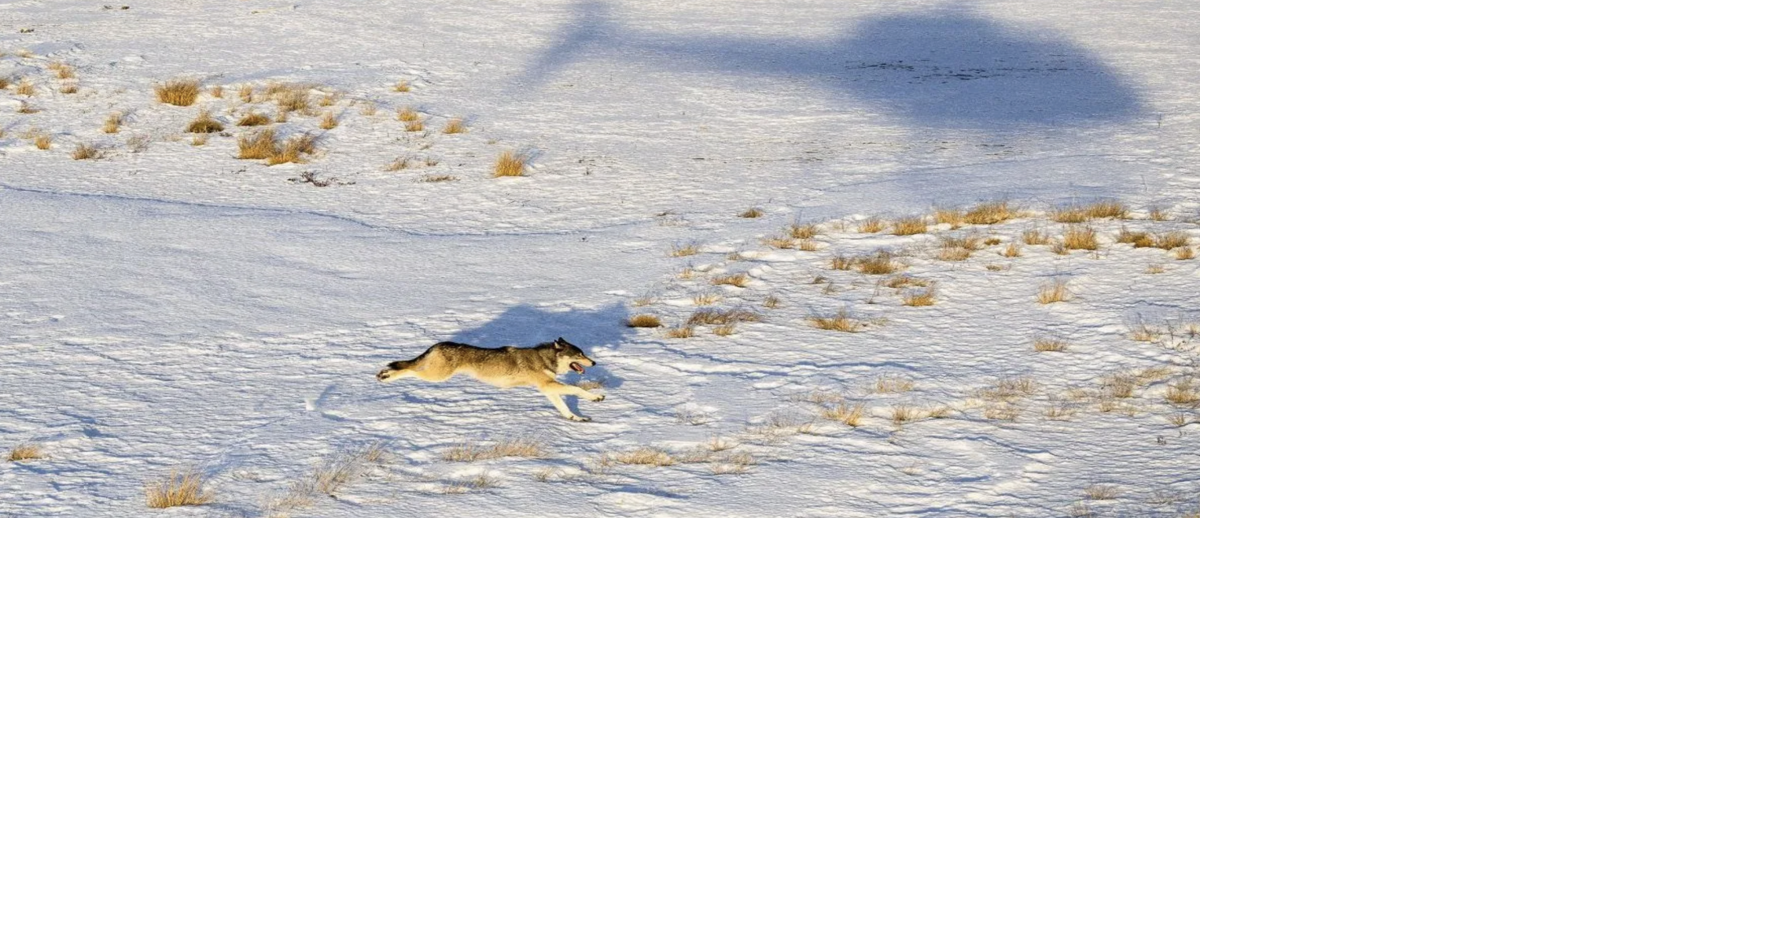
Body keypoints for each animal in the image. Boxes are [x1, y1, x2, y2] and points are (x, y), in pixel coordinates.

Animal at [377, 337, 605, 422]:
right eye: (580, 355)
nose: (594, 362)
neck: (545, 359)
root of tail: (437, 344)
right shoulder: (547, 385)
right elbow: (577, 390)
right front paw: (596, 398)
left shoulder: (547, 389)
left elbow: (563, 407)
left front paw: (576, 418)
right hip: (436, 376)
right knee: (408, 370)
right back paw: (385, 377)